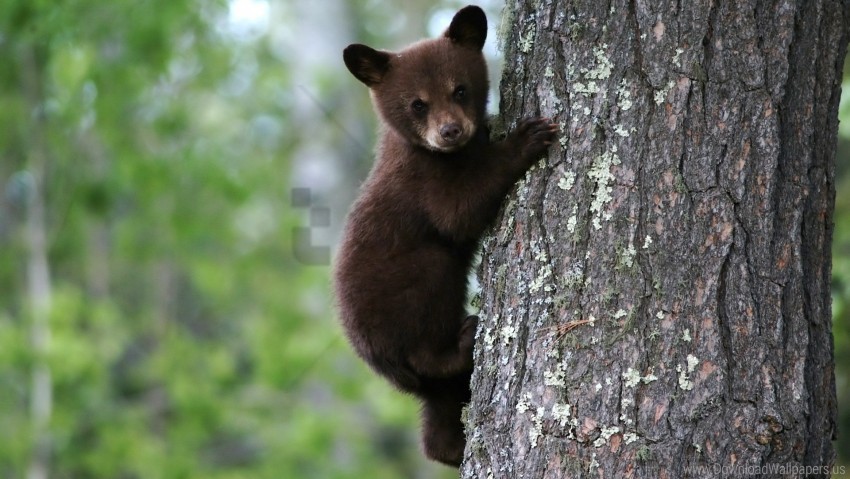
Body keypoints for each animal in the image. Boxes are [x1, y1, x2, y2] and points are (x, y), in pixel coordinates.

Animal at [333, 5, 557, 467]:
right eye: (417, 104)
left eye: (460, 90)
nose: (450, 131)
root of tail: (380, 362)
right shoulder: (422, 181)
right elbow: (459, 211)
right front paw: (526, 138)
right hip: (408, 292)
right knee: (429, 325)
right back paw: (464, 338)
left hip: (430, 390)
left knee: (439, 413)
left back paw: (451, 447)